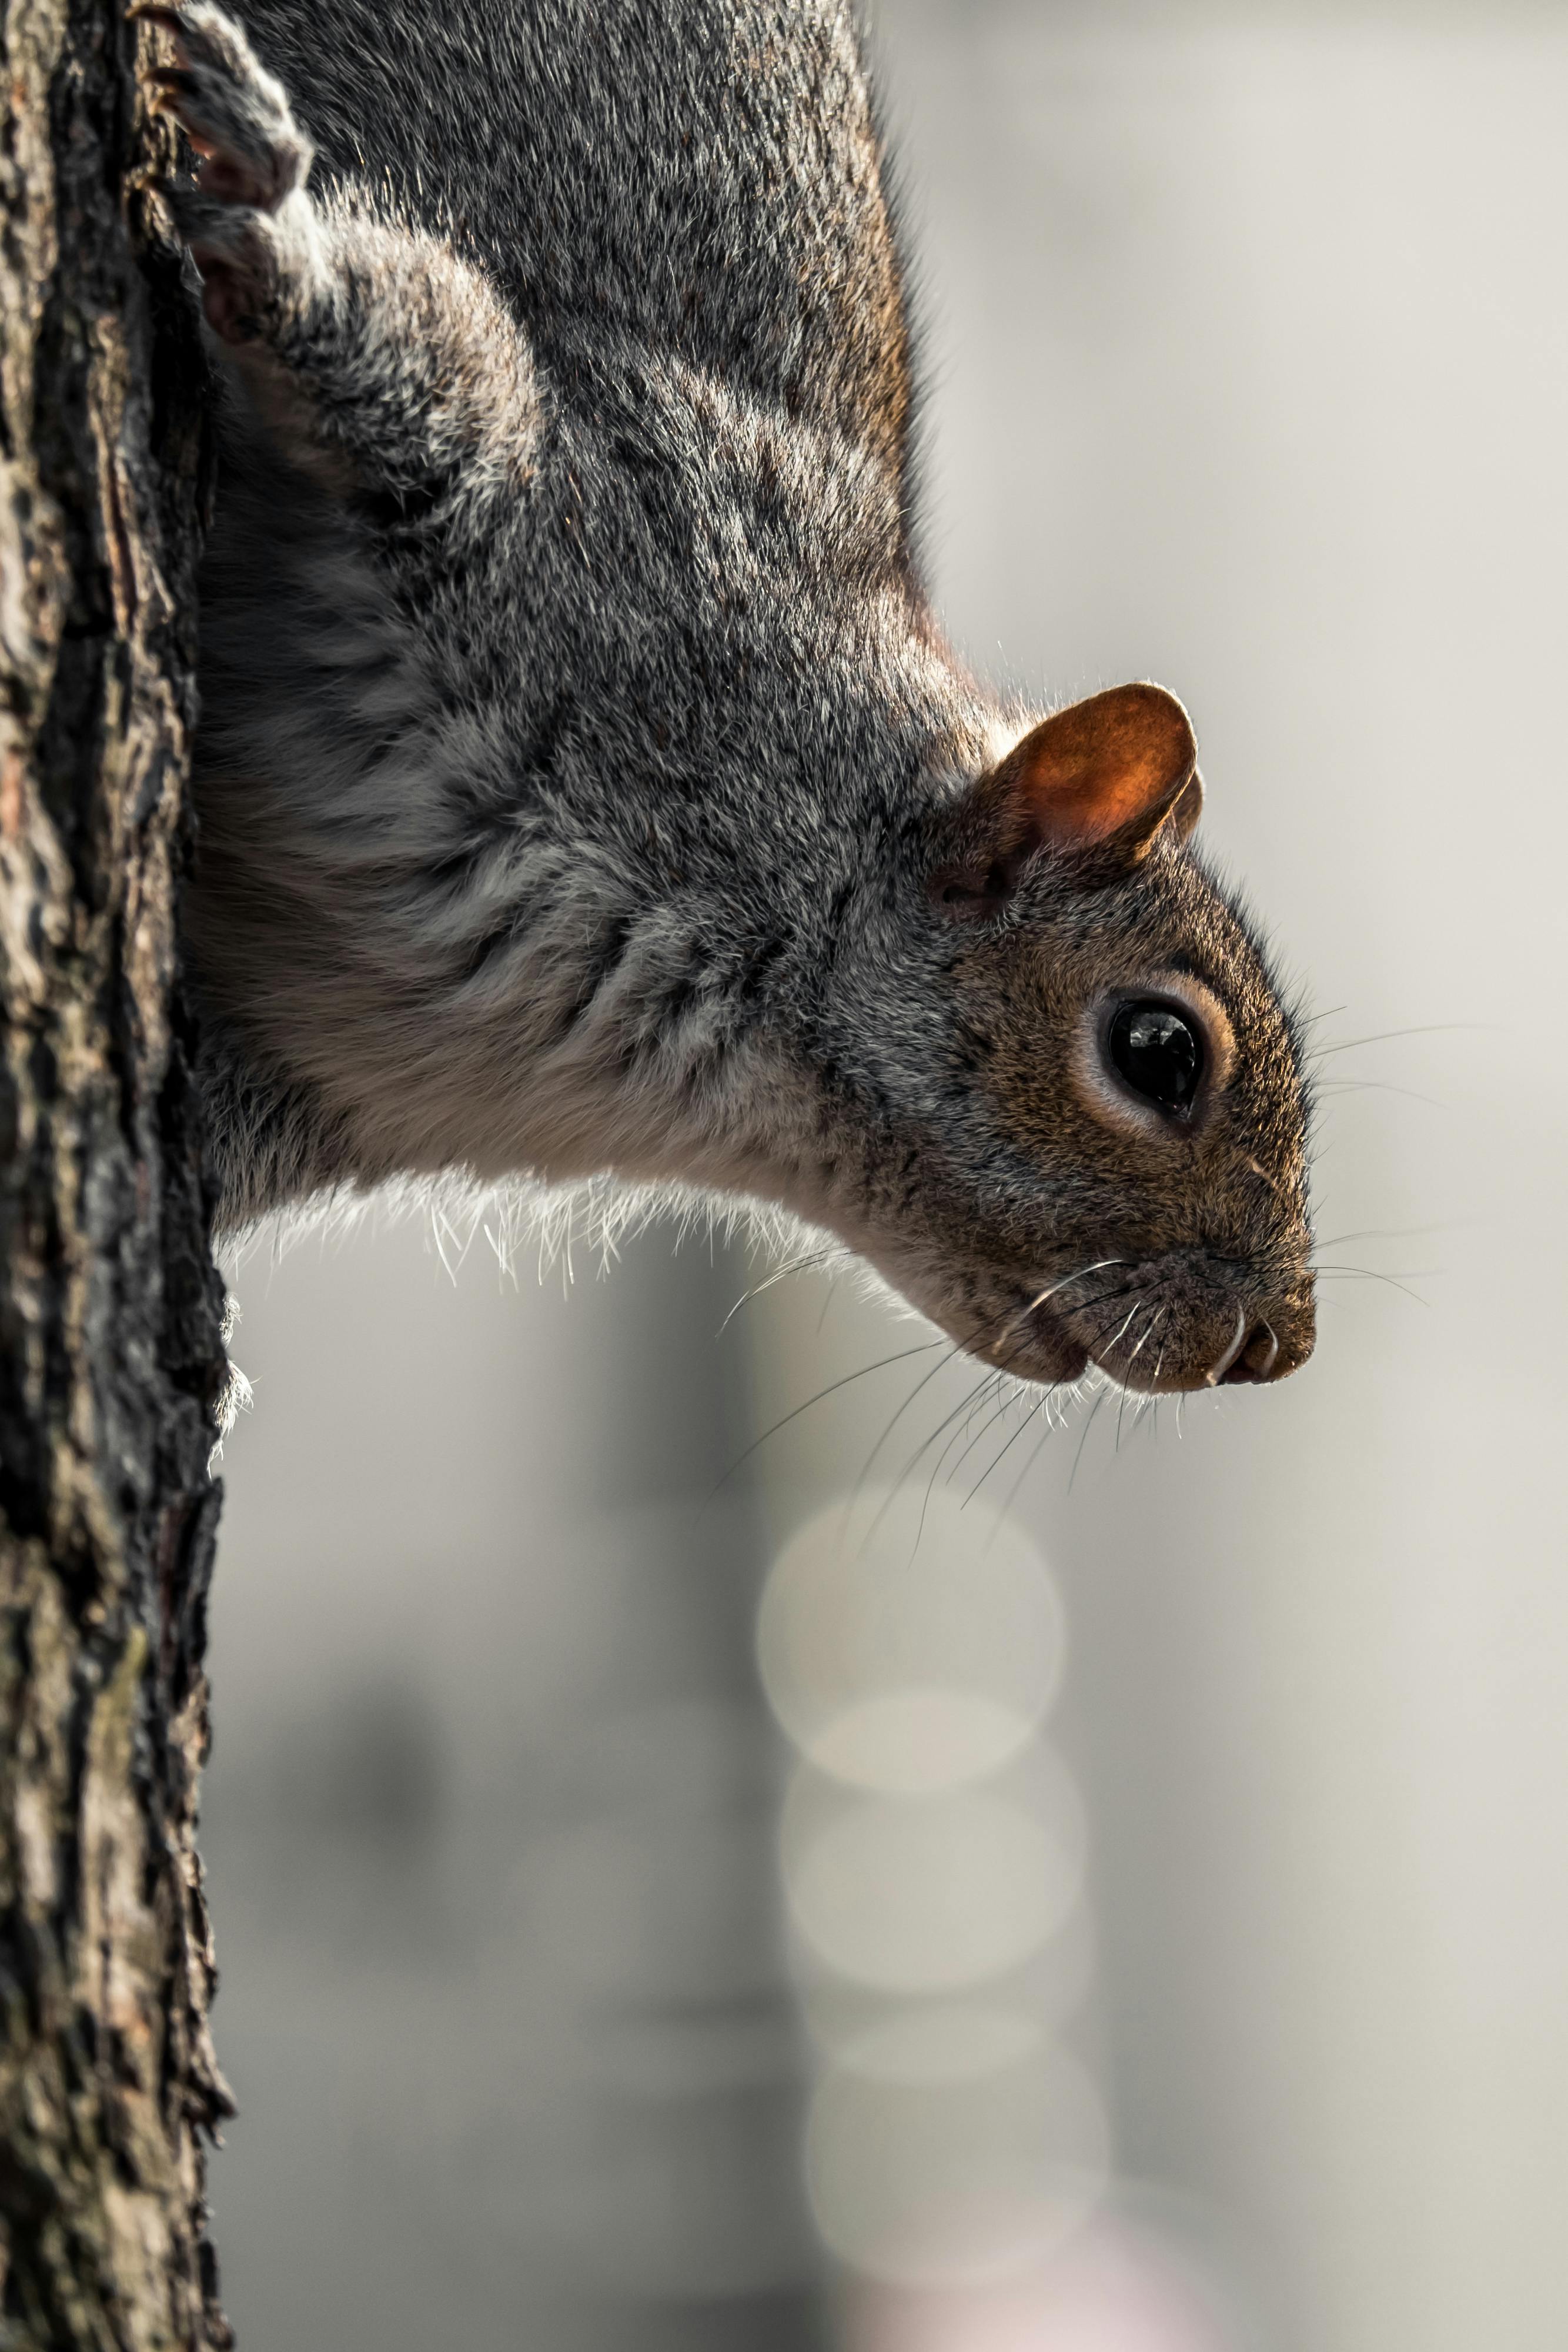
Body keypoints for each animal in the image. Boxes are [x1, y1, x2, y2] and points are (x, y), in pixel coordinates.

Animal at [132, 0, 1315, 1397]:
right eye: (1159, 1053)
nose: (1280, 1346)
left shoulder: (319, 1075)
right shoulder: (565, 535)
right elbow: (408, 356)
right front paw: (262, 209)